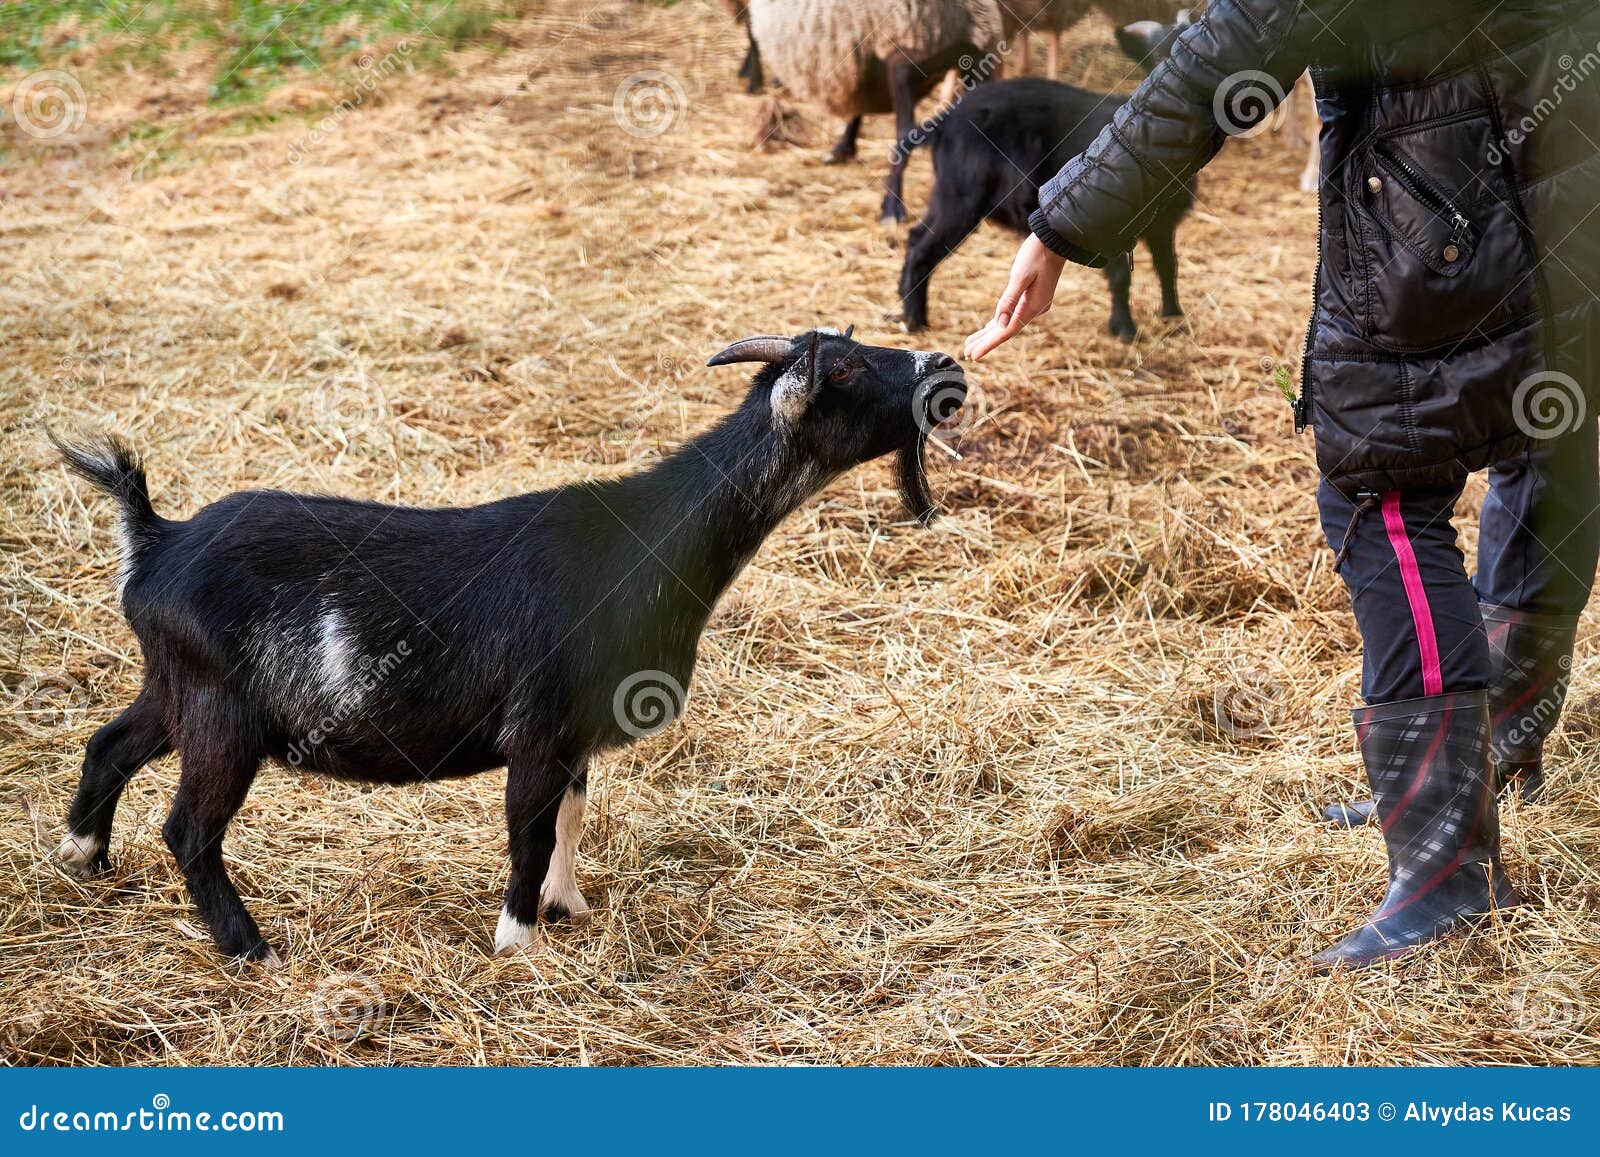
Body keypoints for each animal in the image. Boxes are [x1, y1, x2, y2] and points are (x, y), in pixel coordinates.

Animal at [52, 330, 967, 963]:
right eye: (842, 369)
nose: (945, 366)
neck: (648, 540)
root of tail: (158, 540)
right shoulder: (538, 725)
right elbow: (529, 827)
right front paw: (516, 943)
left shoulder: (579, 731)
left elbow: (569, 816)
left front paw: (569, 910)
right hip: (222, 713)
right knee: (189, 829)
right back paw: (253, 949)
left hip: (174, 686)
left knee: (109, 744)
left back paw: (81, 858)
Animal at [898, 23, 1192, 339]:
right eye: (1155, 55)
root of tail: (943, 124)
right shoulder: (1108, 219)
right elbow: (1121, 276)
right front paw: (1125, 329)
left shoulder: (1164, 225)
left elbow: (1168, 265)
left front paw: (1173, 315)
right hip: (960, 197)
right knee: (921, 248)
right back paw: (915, 320)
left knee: (914, 236)